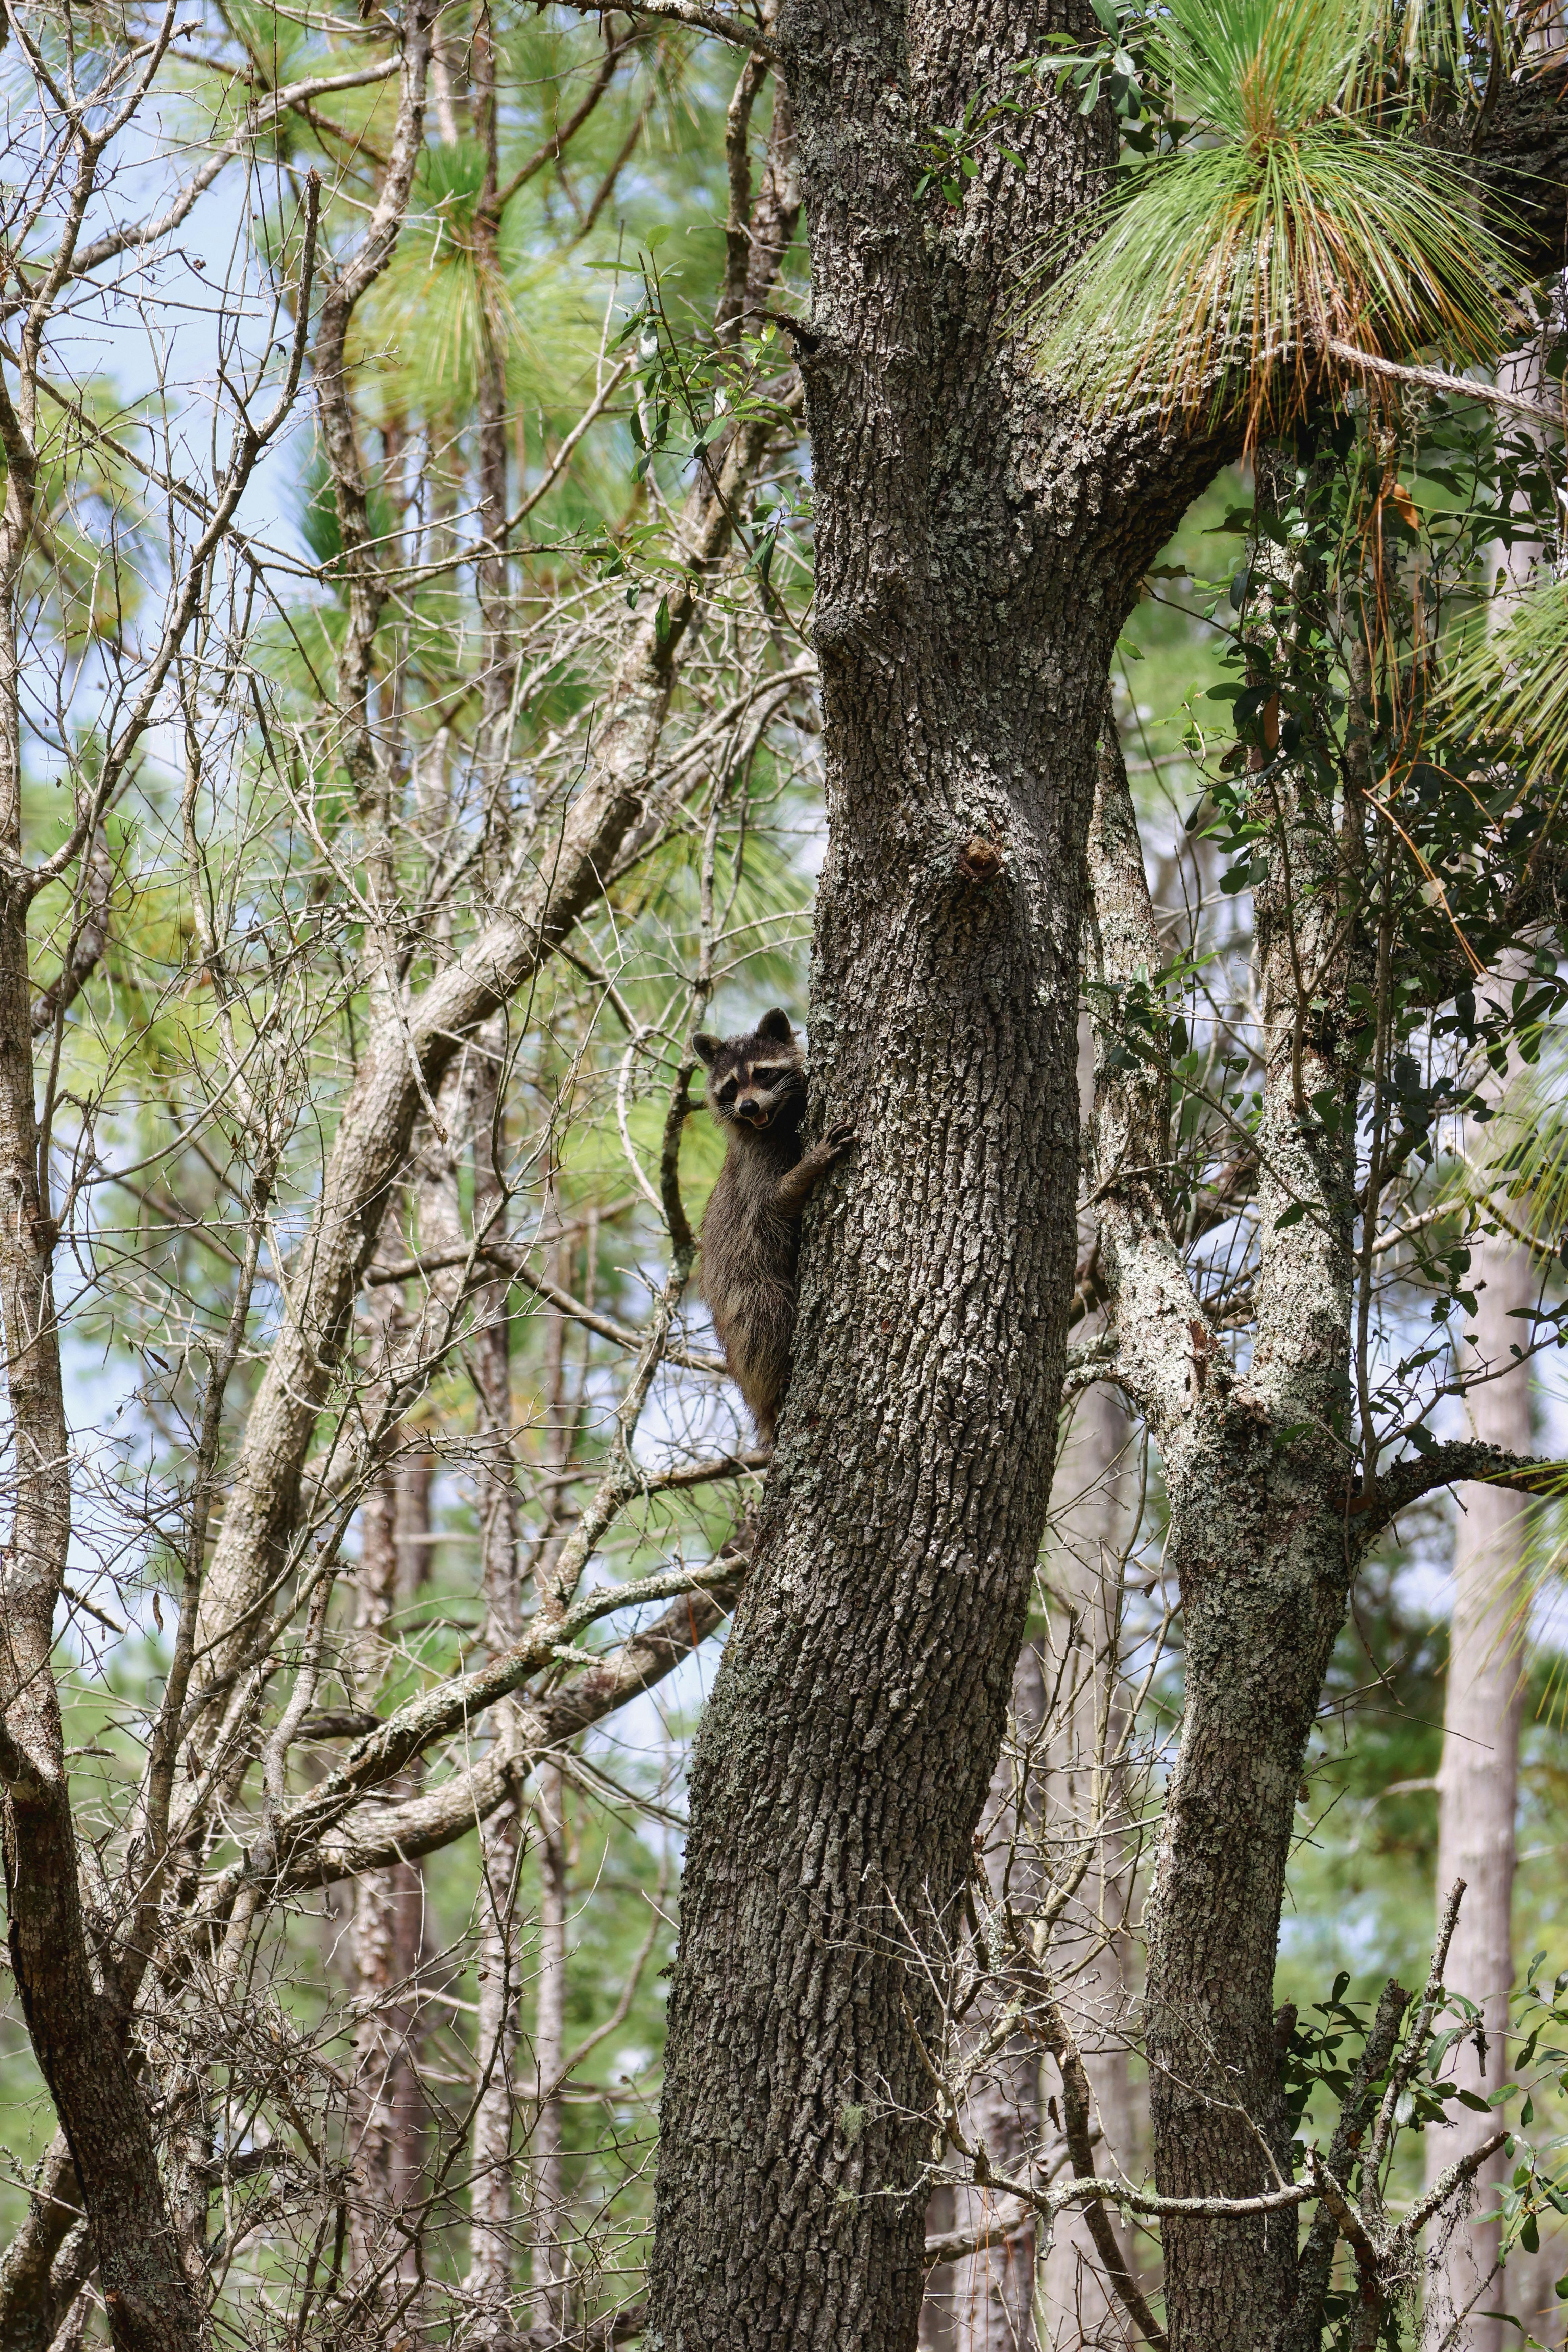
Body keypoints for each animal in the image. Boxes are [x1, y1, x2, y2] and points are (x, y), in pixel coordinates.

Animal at [693, 1007, 853, 1448]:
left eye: (762, 1074)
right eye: (731, 1086)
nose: (748, 1107)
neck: (775, 1122)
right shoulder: (755, 1169)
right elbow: (771, 1205)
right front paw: (811, 1164)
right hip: (742, 1292)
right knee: (765, 1314)